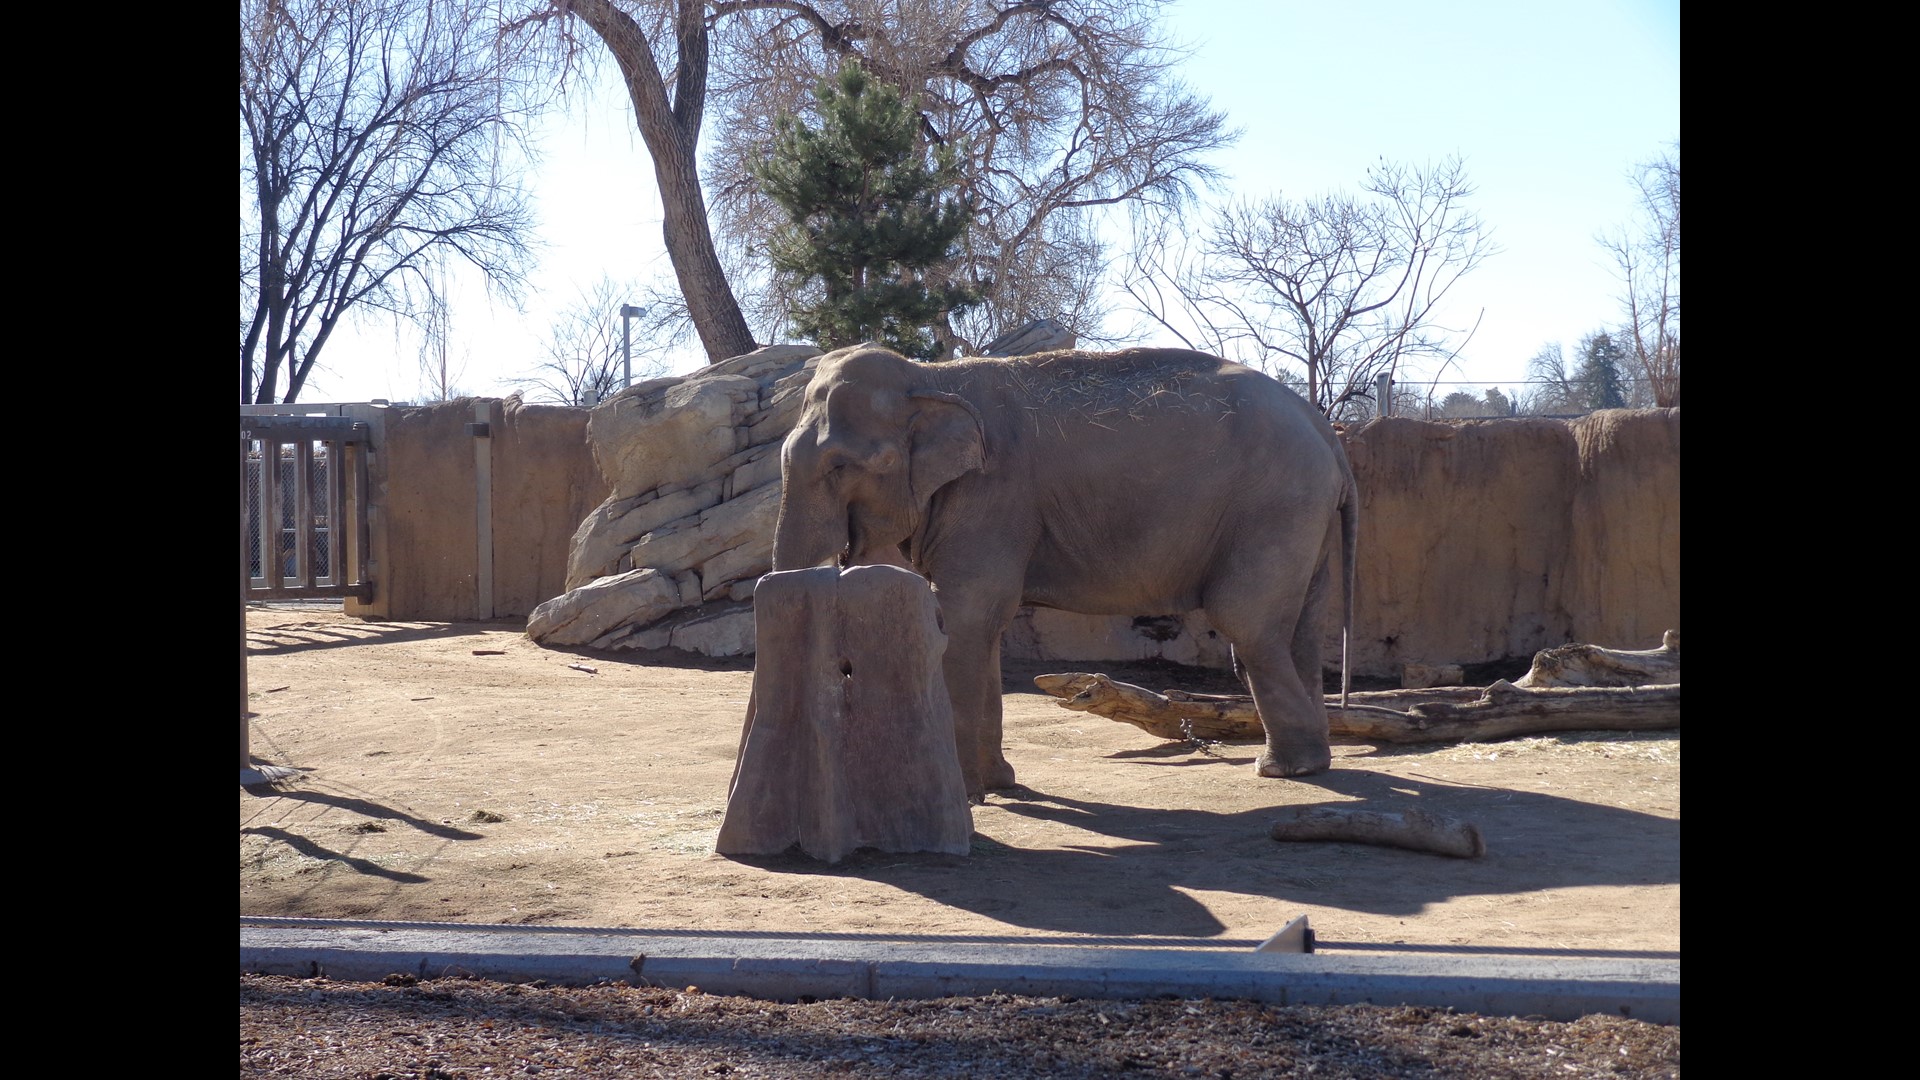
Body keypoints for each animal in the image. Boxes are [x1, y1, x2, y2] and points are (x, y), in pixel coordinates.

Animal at [771, 343, 1358, 799]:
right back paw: (1311, 762)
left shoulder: (995, 495)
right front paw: (1001, 786)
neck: (931, 376)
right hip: (1305, 516)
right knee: (1299, 631)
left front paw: (970, 795)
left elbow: (966, 617)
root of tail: (1325, 428)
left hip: (1276, 506)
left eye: (841, 465)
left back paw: (1282, 770)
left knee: (1248, 626)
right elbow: (984, 627)